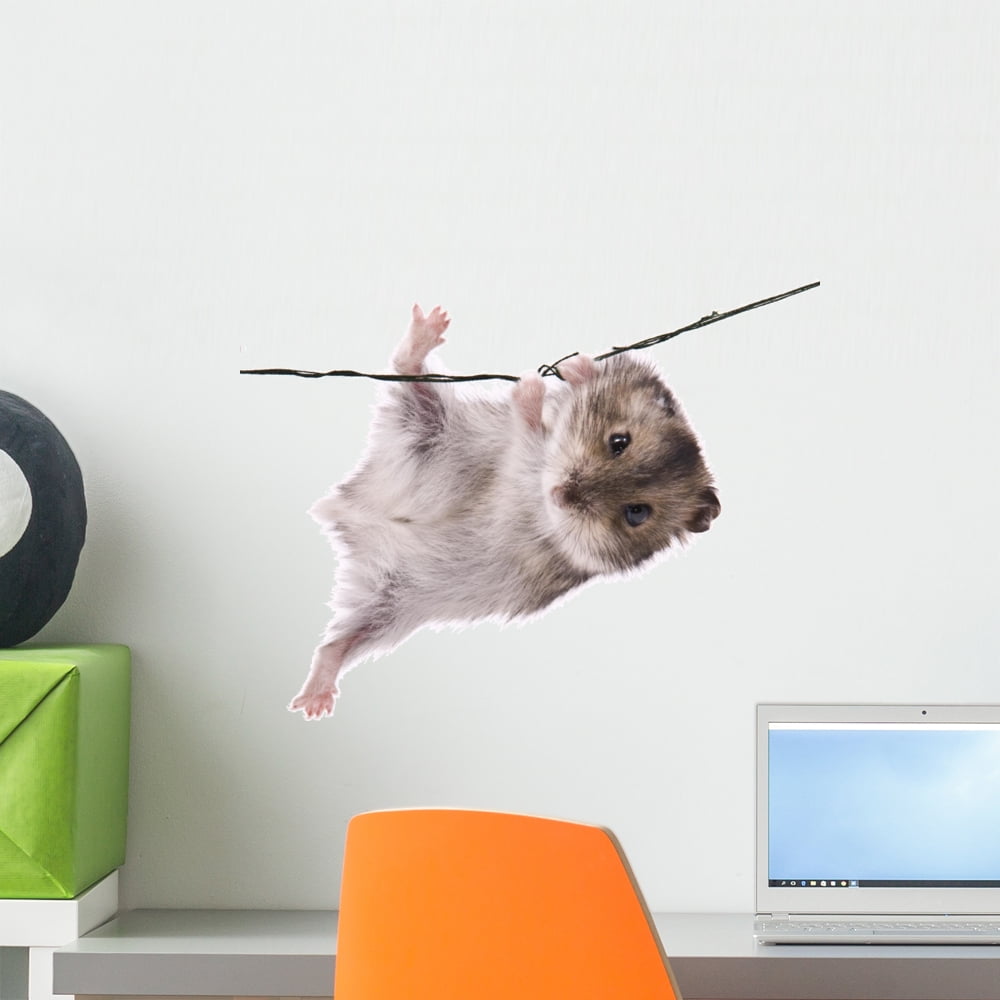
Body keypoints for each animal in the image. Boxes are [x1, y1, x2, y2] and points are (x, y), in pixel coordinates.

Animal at [289, 304, 720, 719]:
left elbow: (530, 435)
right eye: (619, 442)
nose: (560, 494)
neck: (541, 485)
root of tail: (351, 510)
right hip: (427, 428)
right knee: (409, 373)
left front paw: (533, 386)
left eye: (637, 513)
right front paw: (575, 370)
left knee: (336, 645)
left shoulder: (537, 488)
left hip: (388, 604)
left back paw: (313, 704)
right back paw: (434, 323)